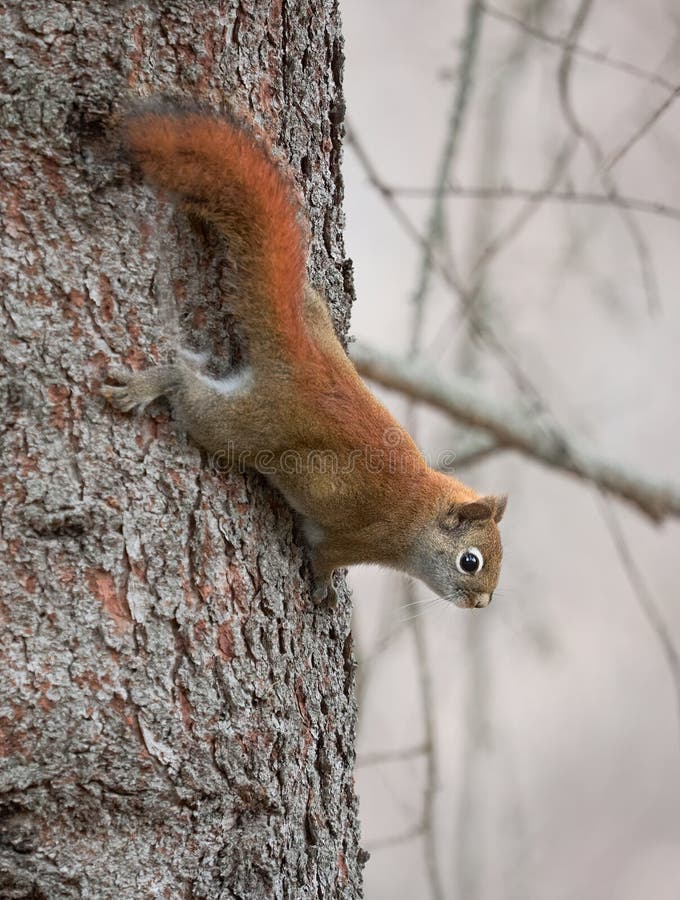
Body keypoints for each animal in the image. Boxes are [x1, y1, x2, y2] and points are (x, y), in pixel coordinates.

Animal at [101, 101, 506, 609]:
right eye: (470, 561)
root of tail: (303, 357)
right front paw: (324, 589)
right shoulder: (354, 539)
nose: (482, 602)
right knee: (192, 398)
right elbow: (325, 558)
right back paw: (147, 384)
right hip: (247, 426)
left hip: (311, 322)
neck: (419, 511)